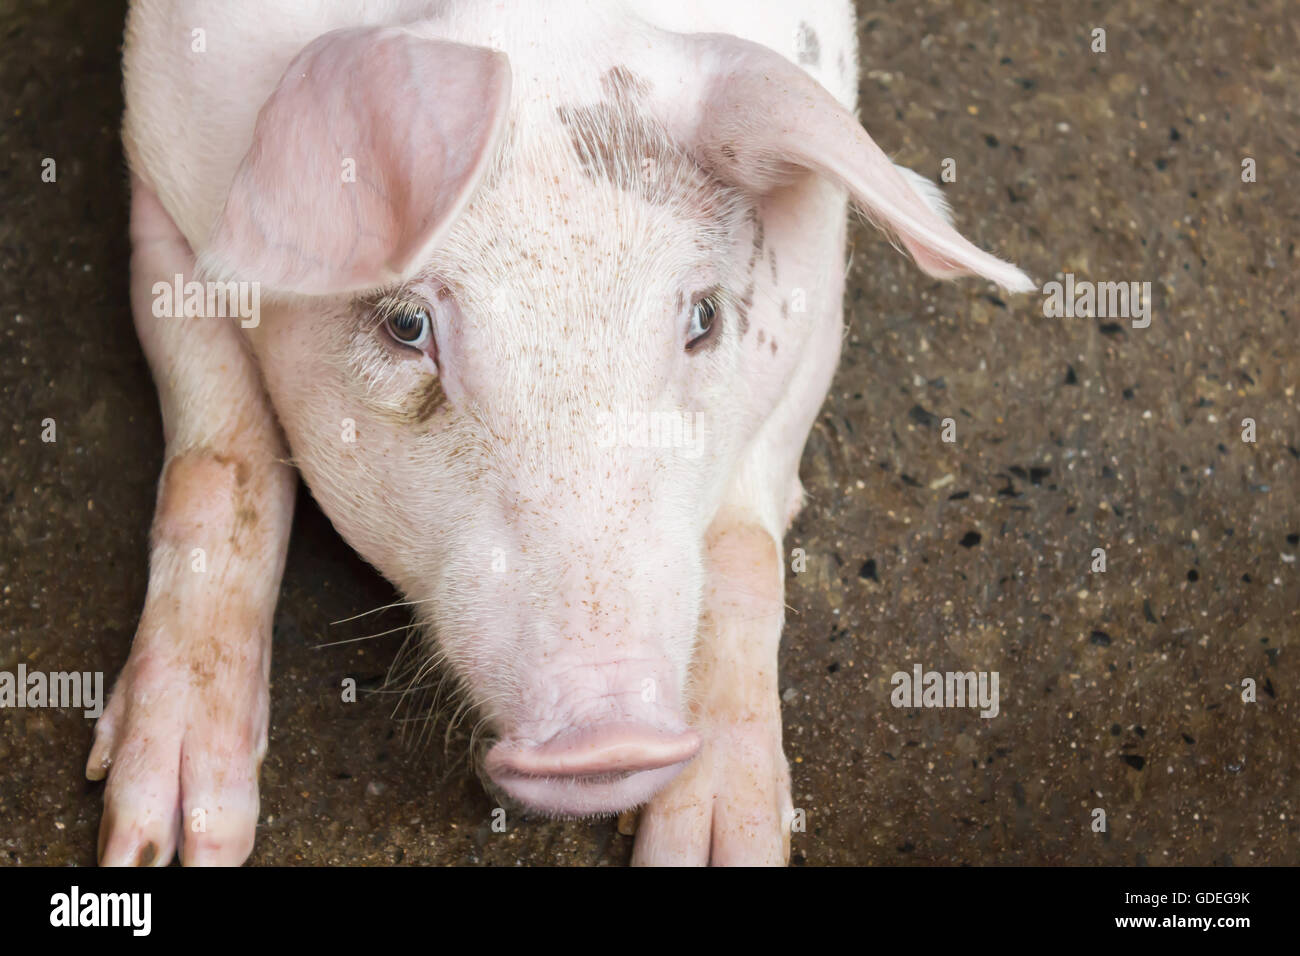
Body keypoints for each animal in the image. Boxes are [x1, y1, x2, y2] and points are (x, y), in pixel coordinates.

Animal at [94, 0, 1030, 866]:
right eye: (407, 325)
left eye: (702, 317)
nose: (611, 730)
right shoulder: (158, 173)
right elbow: (221, 466)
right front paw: (164, 841)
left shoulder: (817, 284)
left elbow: (744, 541)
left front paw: (719, 845)